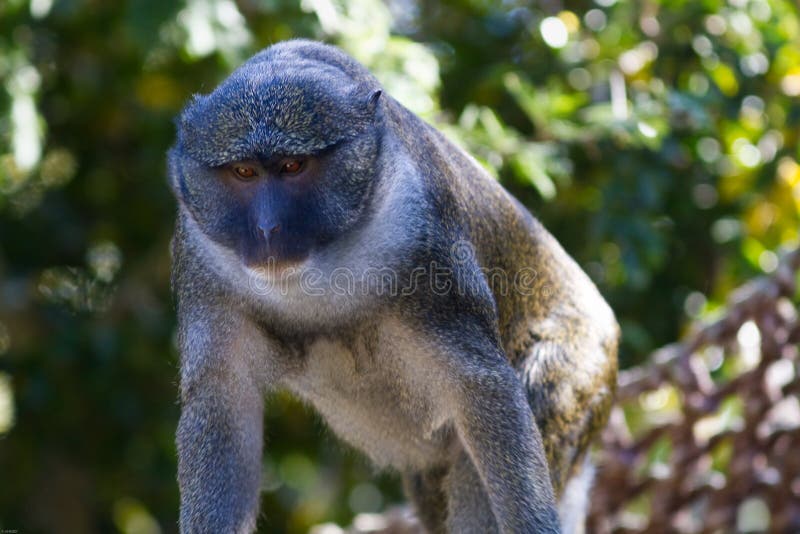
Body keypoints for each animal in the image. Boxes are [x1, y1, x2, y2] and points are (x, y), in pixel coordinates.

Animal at [168, 39, 618, 534]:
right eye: (244, 173)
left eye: (293, 166)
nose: (268, 230)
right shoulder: (202, 259)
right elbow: (223, 405)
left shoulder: (423, 237)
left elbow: (483, 385)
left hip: (580, 368)